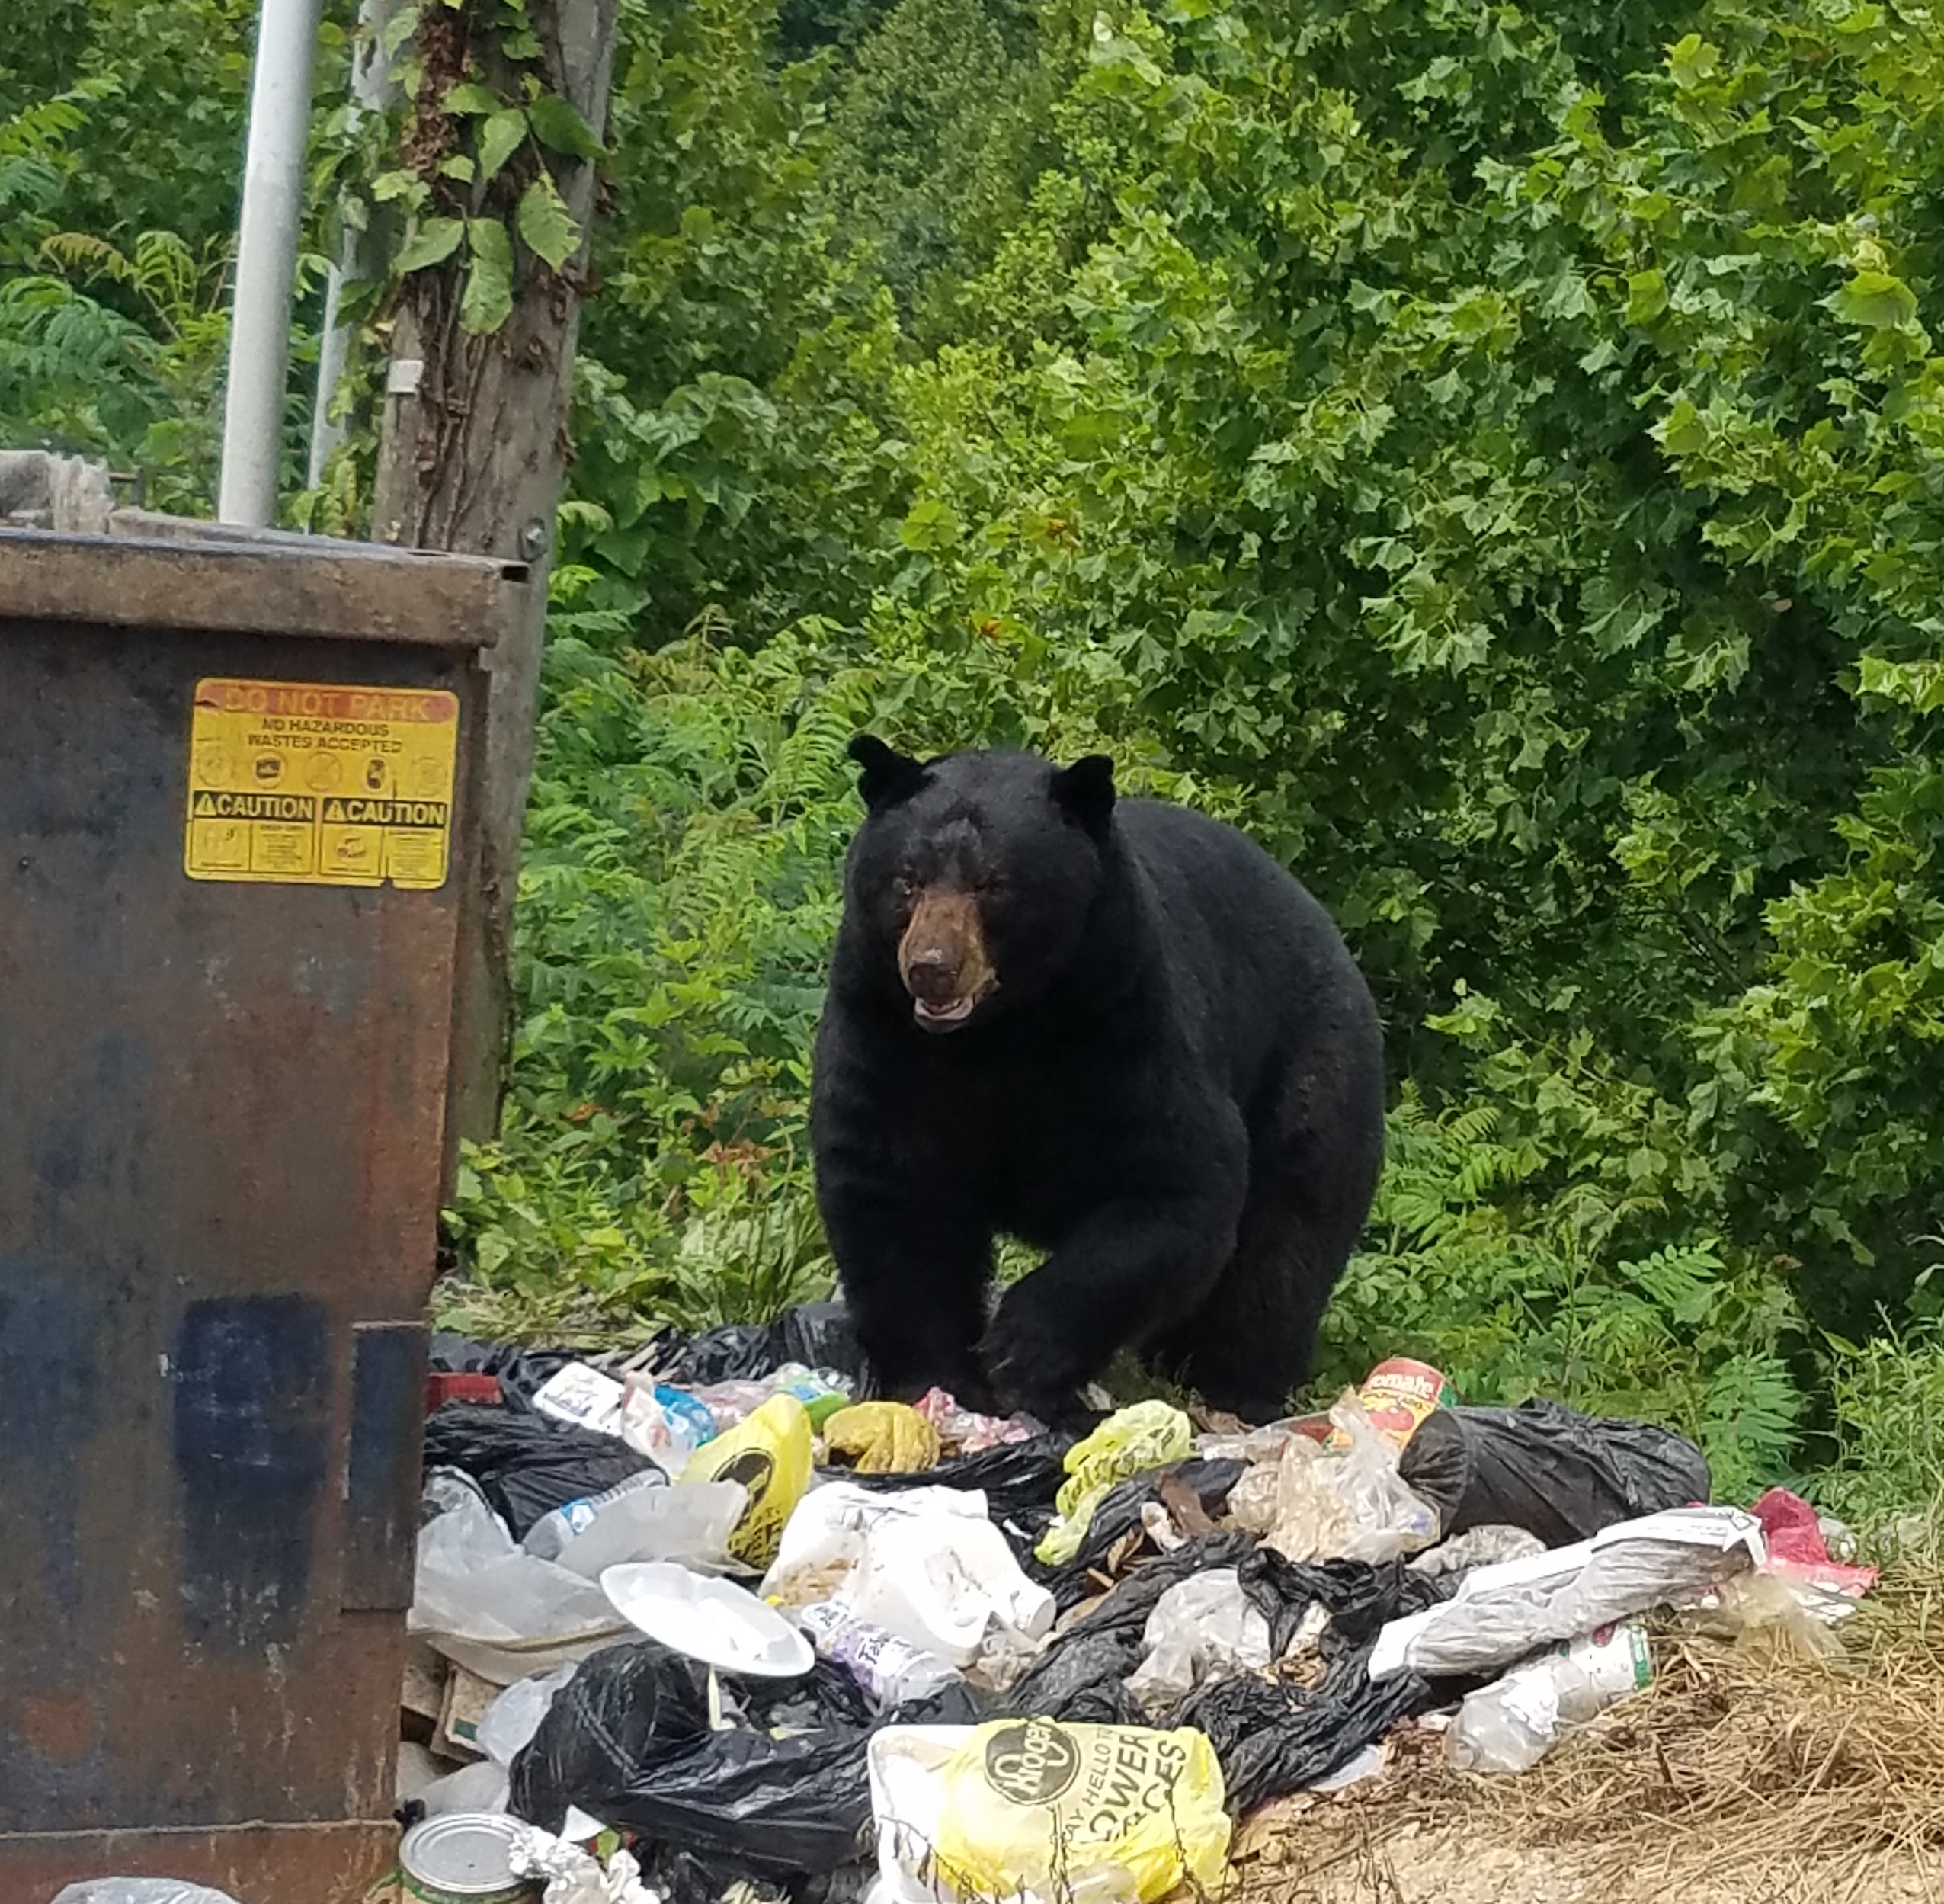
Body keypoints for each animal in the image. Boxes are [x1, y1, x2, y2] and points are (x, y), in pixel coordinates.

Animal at [808, 736, 1386, 1426]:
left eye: (993, 883)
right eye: (906, 879)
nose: (931, 968)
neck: (995, 1035)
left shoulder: (1120, 1023)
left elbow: (1170, 1184)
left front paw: (1020, 1347)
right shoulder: (886, 1039)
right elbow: (892, 1193)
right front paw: (934, 1379)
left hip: (1310, 1063)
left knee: (1284, 1241)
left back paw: (1234, 1382)